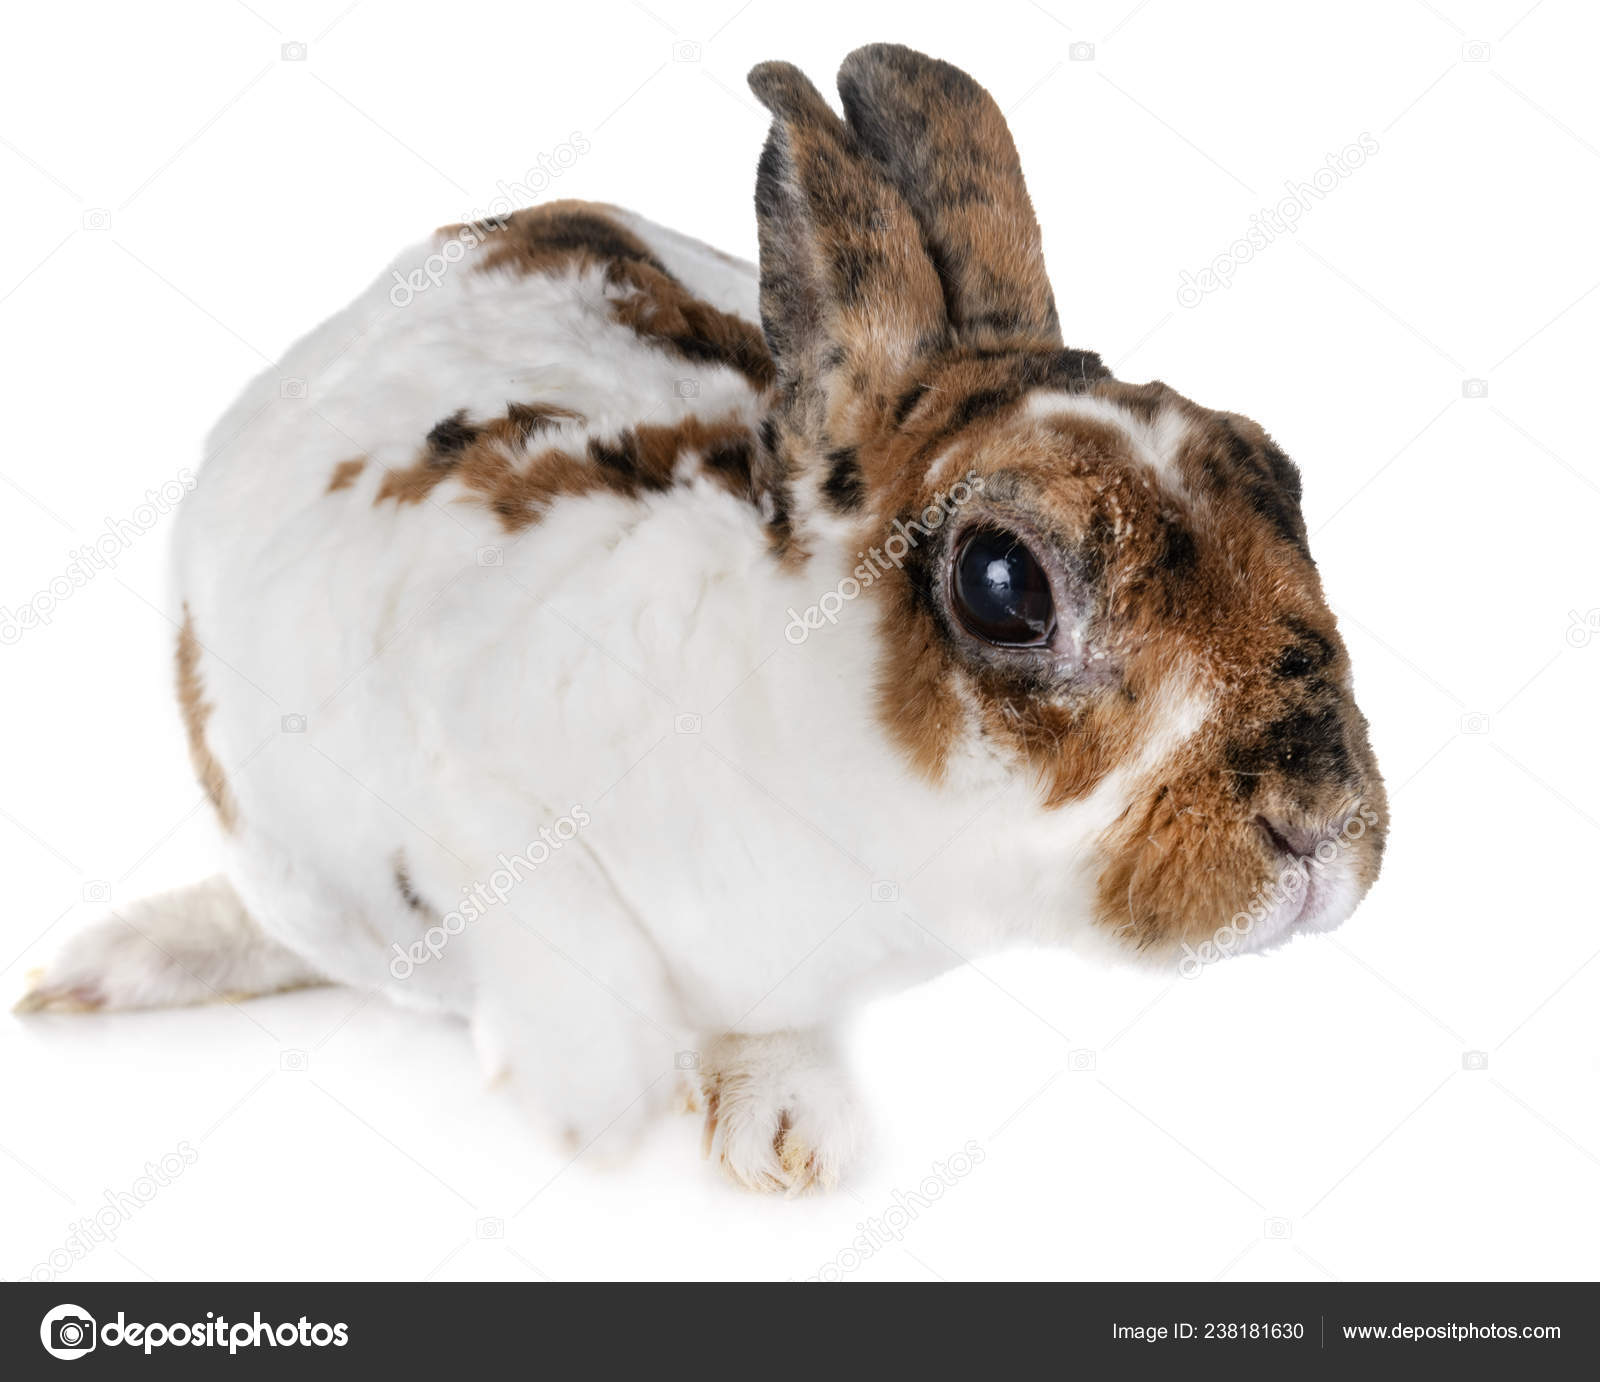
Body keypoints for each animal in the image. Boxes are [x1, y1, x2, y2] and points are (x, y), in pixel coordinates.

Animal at [18, 44, 1385, 1192]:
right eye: (1002, 582)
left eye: (1279, 472)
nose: (1321, 828)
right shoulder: (460, 763)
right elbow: (559, 930)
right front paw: (598, 1113)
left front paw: (791, 1139)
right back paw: (98, 973)